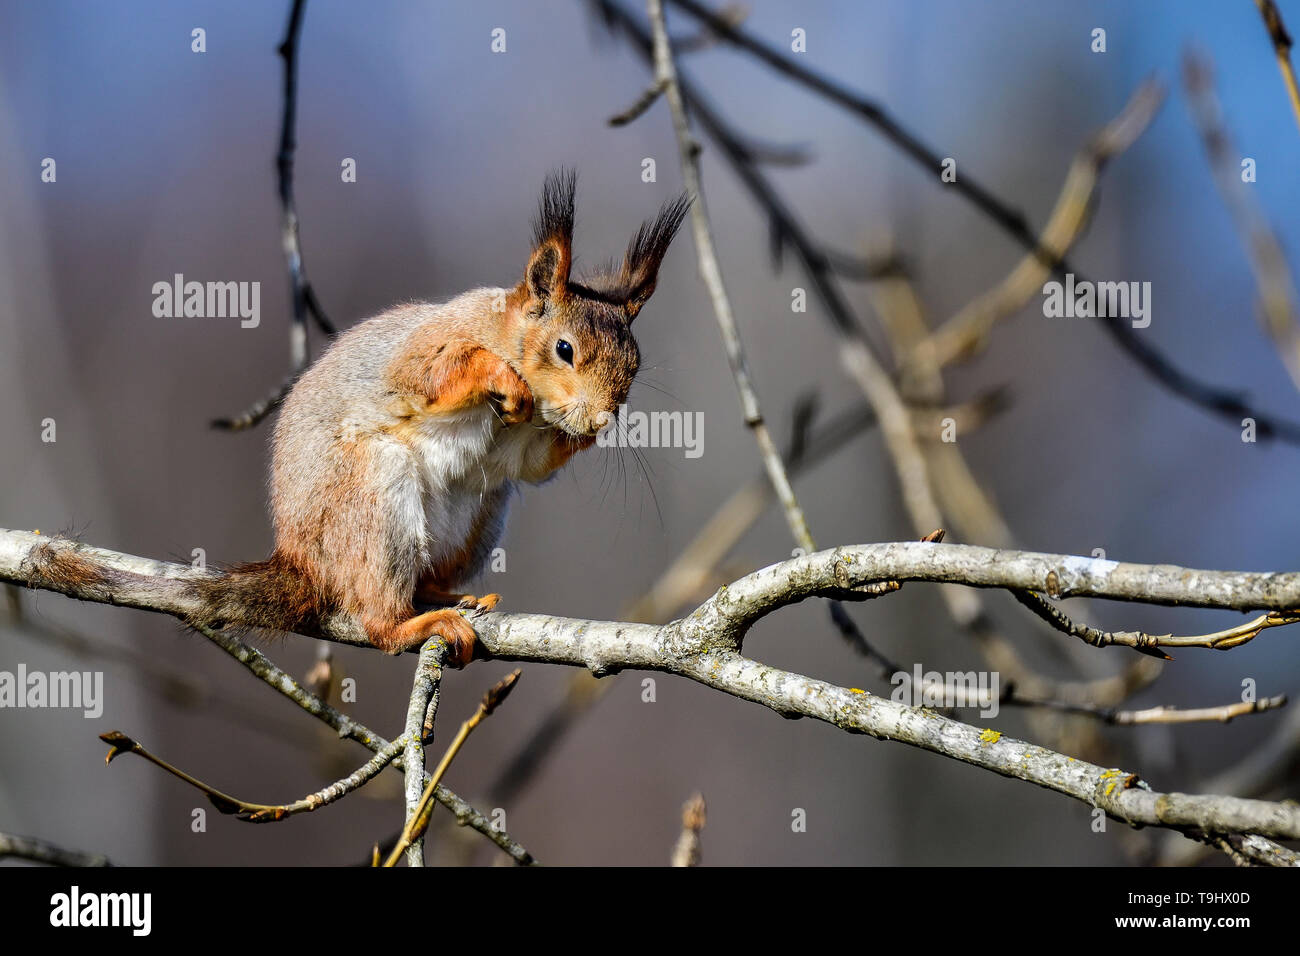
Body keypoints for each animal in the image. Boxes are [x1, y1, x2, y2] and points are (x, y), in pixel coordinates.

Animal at [35, 171, 688, 666]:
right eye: (564, 349)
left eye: (634, 364)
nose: (604, 418)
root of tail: (301, 562)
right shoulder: (426, 349)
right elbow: (432, 375)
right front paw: (502, 380)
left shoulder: (526, 449)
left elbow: (532, 467)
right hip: (371, 499)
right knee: (377, 619)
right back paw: (416, 624)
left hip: (480, 516)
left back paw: (447, 596)